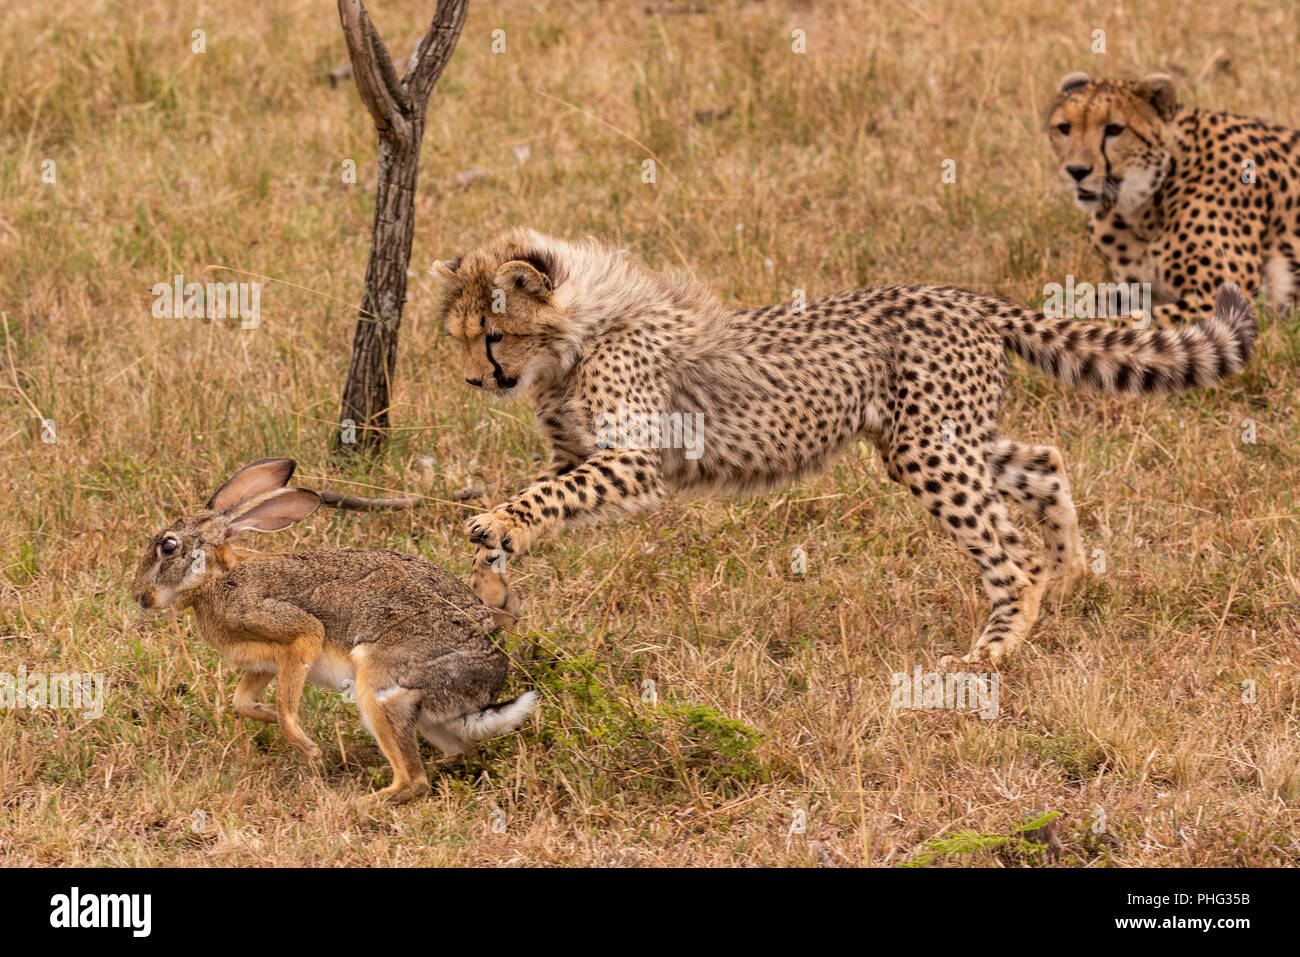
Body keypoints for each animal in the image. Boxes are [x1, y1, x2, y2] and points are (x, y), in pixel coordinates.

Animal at [131, 457, 537, 804]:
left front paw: (307, 748)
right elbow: (241, 702)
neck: (215, 579)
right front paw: (270, 716)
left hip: (379, 688)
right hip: (422, 716)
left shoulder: (297, 635)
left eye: (168, 547)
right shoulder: (264, 665)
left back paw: (363, 802)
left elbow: (288, 702)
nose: (140, 596)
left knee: (413, 780)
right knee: (450, 753)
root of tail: (485, 689)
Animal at [432, 228, 1256, 665]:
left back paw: (996, 645)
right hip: (937, 438)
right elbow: (545, 491)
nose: (472, 380)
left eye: (494, 334)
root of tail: (965, 295)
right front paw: (491, 571)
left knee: (1008, 550)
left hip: (930, 450)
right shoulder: (579, 454)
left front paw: (495, 527)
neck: (577, 336)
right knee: (1045, 460)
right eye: (461, 336)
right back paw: (1069, 571)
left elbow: (543, 494)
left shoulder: (634, 459)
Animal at [1048, 71, 1300, 326]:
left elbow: (1127, 322)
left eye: (1115, 129)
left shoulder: (1225, 298)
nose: (1077, 171)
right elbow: (1086, 300)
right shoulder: (1141, 290)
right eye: (1064, 128)